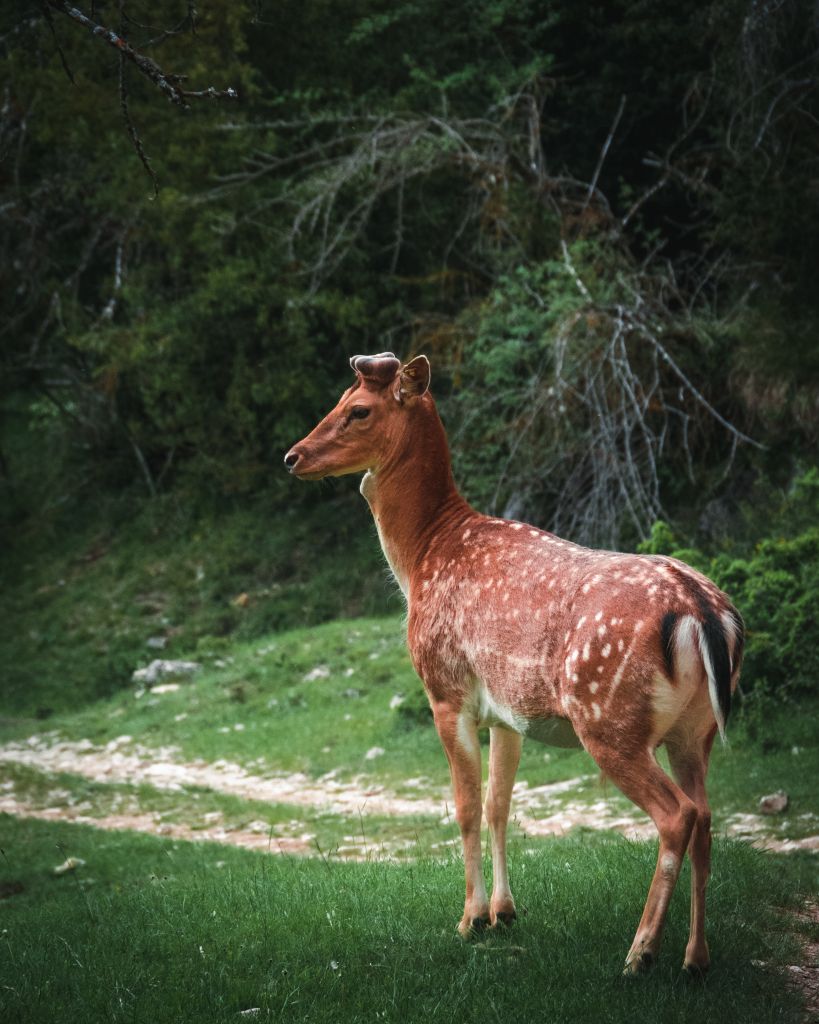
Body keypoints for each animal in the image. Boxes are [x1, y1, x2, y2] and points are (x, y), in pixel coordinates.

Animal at [284, 351, 744, 976]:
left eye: (358, 409)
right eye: (338, 398)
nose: (293, 456)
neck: (423, 554)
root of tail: (702, 610)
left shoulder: (446, 689)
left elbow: (464, 806)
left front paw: (469, 920)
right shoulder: (508, 712)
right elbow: (500, 805)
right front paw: (505, 912)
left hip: (609, 717)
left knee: (678, 815)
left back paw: (640, 952)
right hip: (694, 730)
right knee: (707, 817)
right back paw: (695, 958)